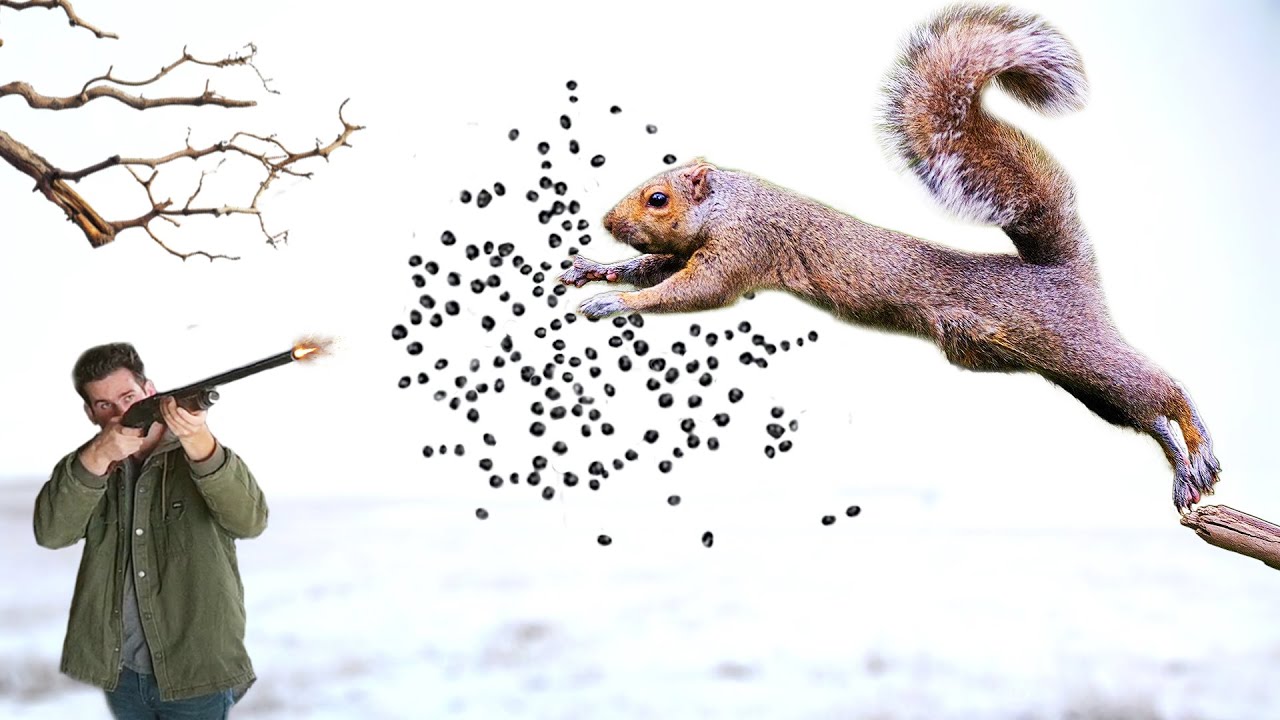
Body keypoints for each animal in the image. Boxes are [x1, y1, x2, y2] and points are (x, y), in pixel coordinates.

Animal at [557, 4, 1221, 513]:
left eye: (658, 198)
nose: (607, 222)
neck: (731, 203)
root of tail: (1061, 271)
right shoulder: (702, 248)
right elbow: (658, 270)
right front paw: (593, 270)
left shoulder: (744, 246)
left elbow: (690, 292)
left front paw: (614, 302)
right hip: (1073, 376)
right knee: (1141, 413)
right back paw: (1182, 465)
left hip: (1075, 345)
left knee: (1160, 387)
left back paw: (1199, 440)